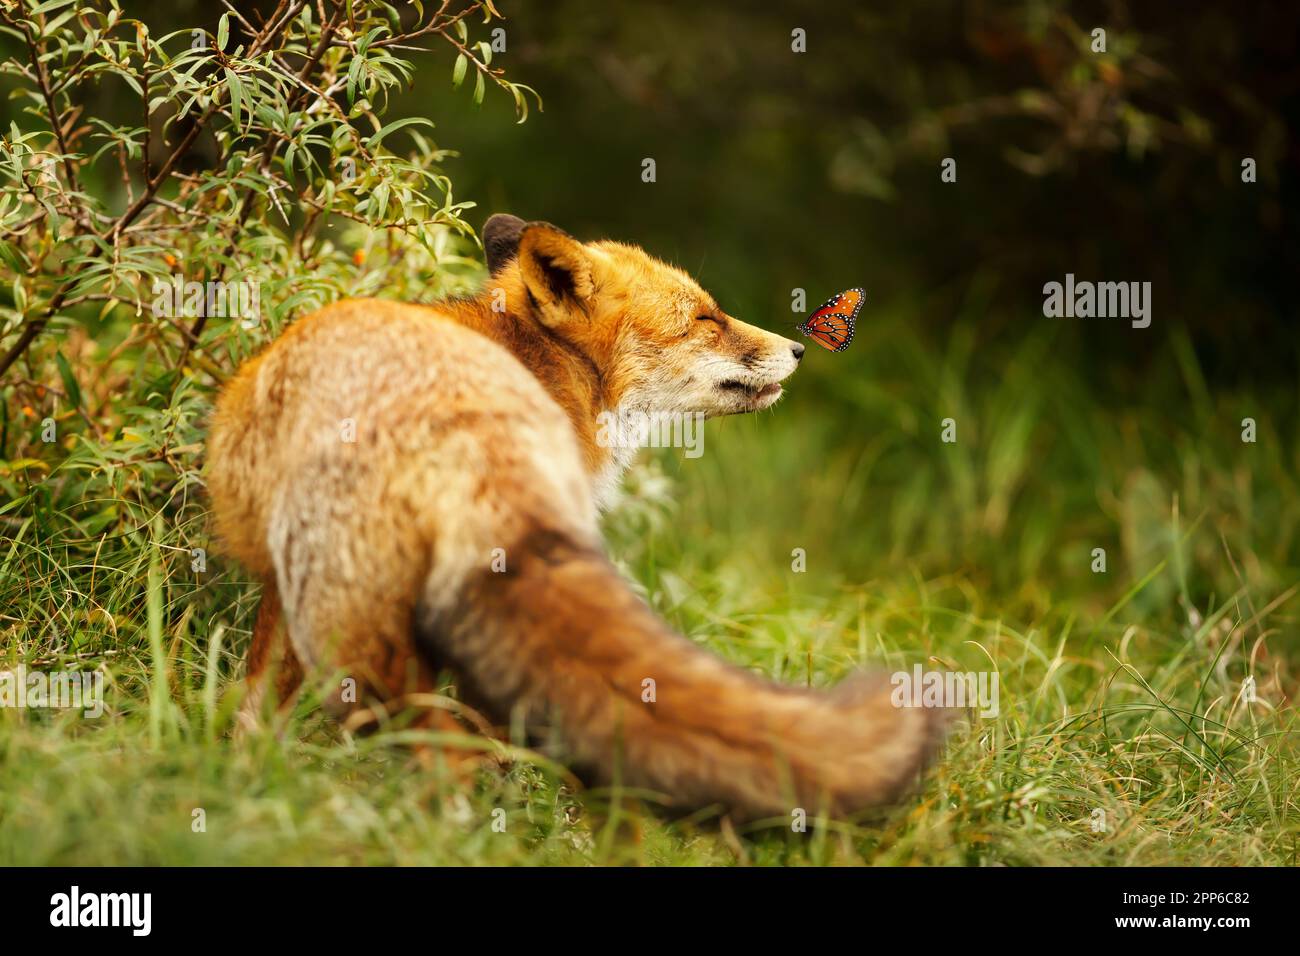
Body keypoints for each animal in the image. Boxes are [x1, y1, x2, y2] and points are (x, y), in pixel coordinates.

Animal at [206, 214, 944, 820]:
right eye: (706, 319)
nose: (798, 351)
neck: (552, 370)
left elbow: (256, 703)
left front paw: (243, 782)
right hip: (365, 642)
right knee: (451, 751)